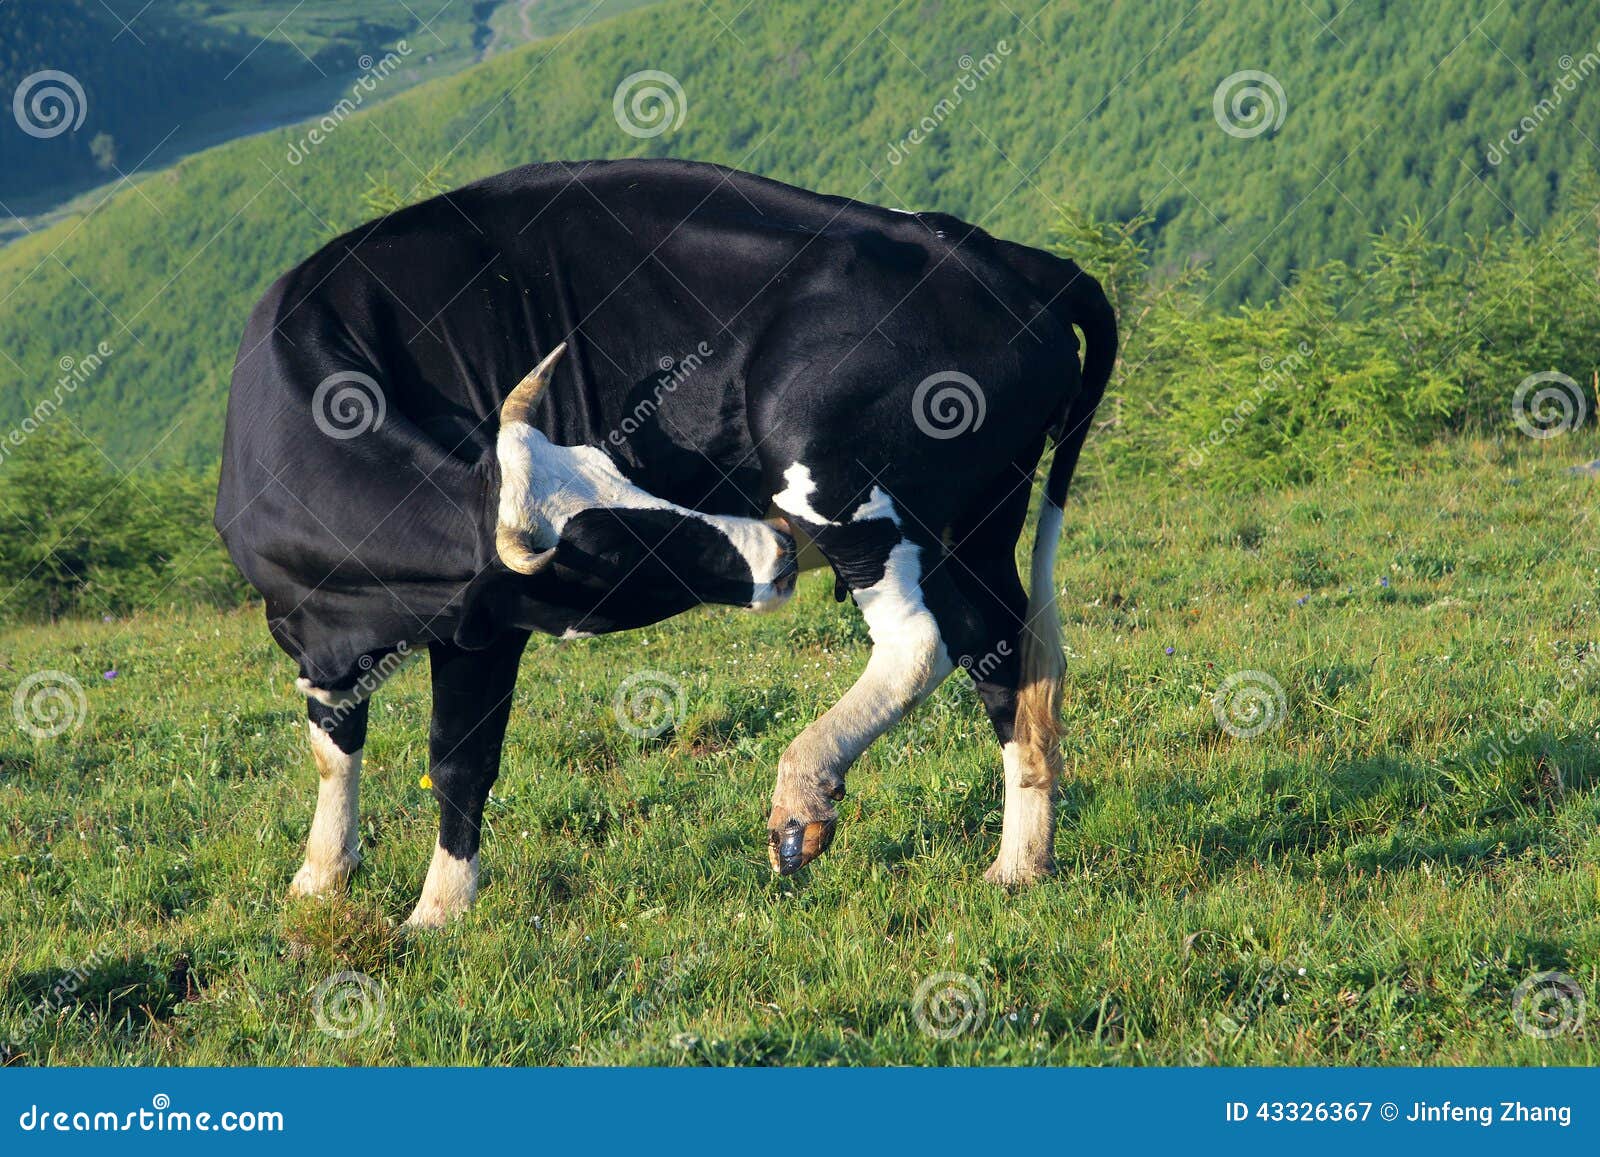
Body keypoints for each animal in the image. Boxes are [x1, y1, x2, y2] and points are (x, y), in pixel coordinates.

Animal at [216, 158, 1115, 927]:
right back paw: (1018, 863)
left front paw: (436, 912)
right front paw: (321, 875)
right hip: (983, 525)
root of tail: (991, 252)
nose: (775, 551)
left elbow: (459, 761)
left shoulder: (483, 628)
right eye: (615, 549)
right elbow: (334, 744)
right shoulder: (308, 627)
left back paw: (802, 793)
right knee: (1006, 660)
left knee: (921, 643)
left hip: (832, 462)